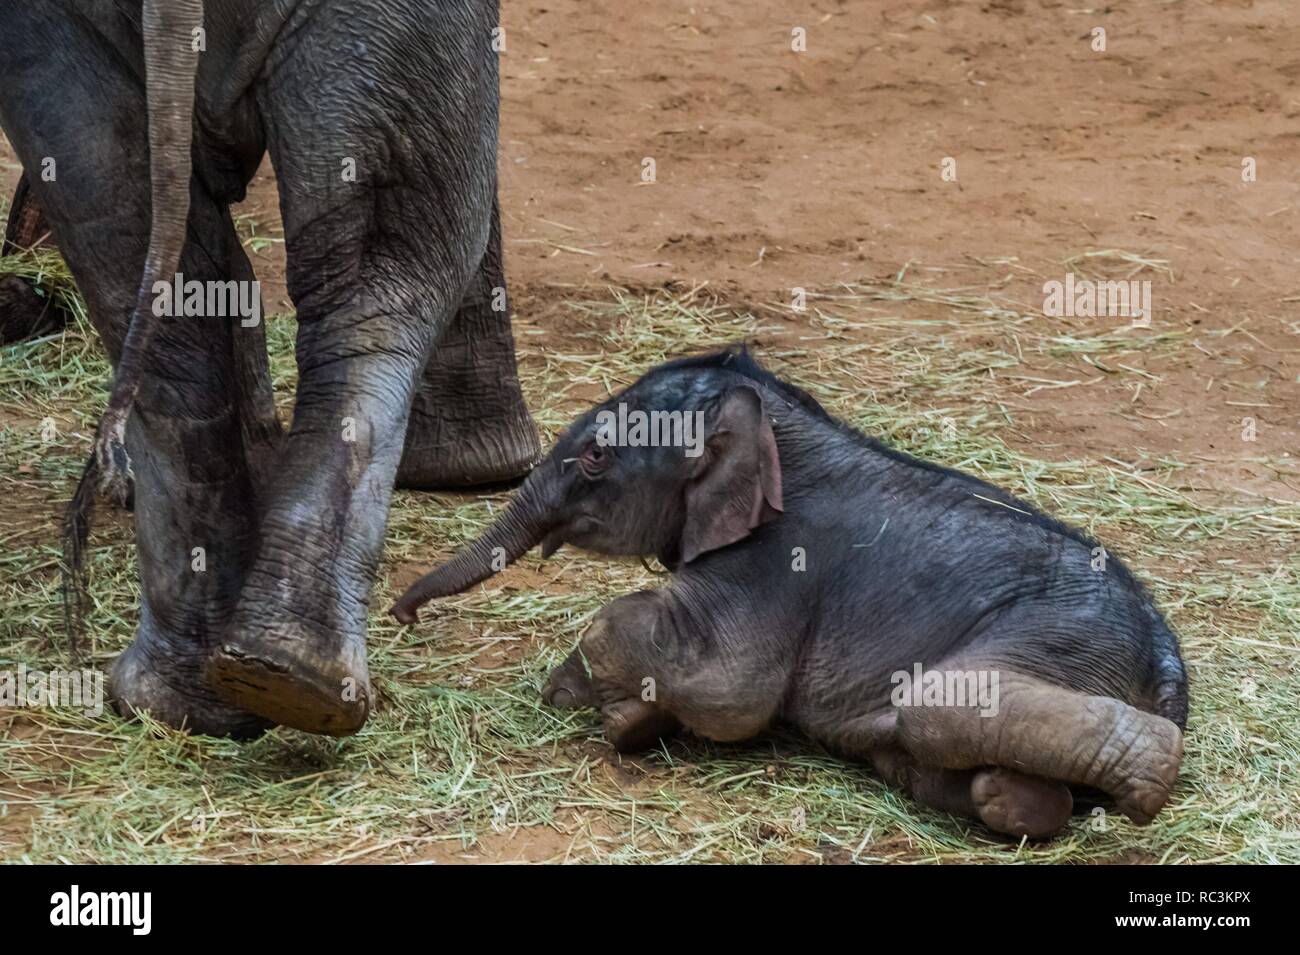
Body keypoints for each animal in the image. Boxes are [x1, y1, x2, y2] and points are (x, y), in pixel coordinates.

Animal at [392, 347, 1189, 839]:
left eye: (593, 457)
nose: (402, 615)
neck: (776, 419)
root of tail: (1167, 655)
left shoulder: (777, 564)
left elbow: (729, 690)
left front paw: (598, 708)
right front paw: (623, 713)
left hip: (1064, 638)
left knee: (932, 706)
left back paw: (1147, 779)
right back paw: (1008, 797)